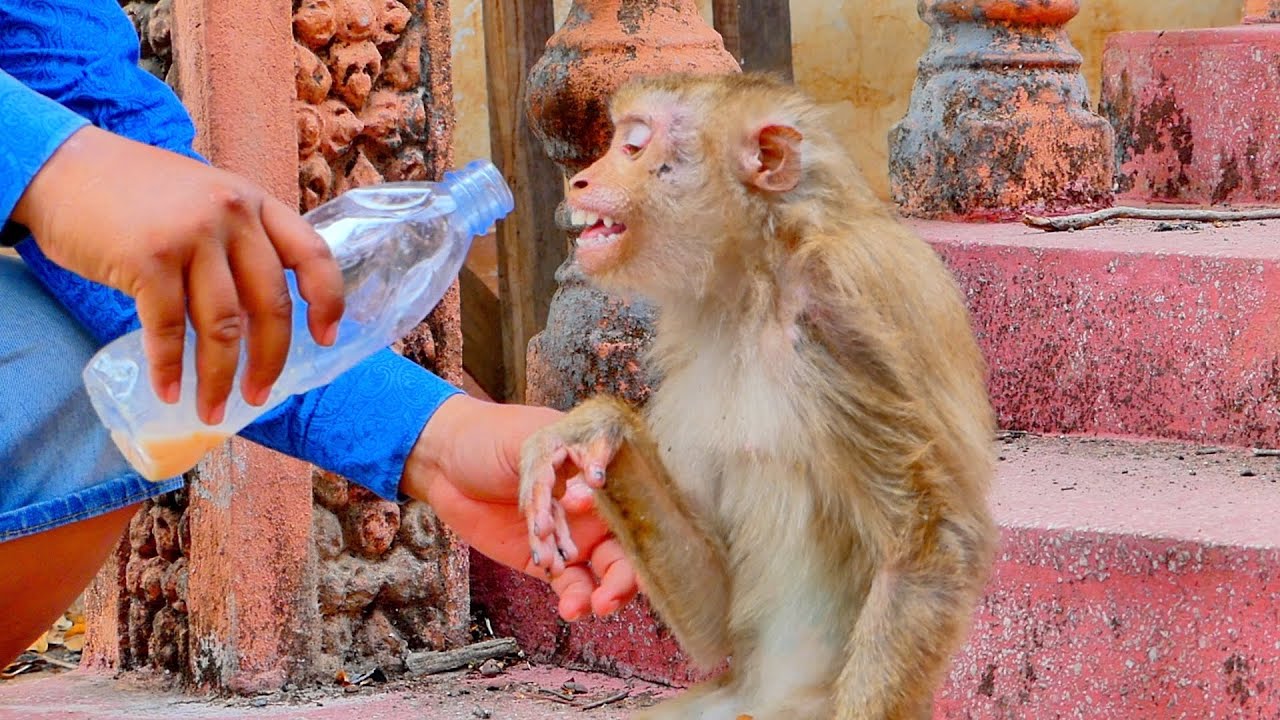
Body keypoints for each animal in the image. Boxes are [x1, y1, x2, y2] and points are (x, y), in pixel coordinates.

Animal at [518, 72, 998, 720]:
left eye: (635, 147)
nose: (582, 179)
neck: (758, 278)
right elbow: (715, 620)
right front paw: (597, 431)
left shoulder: (843, 314)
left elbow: (931, 548)